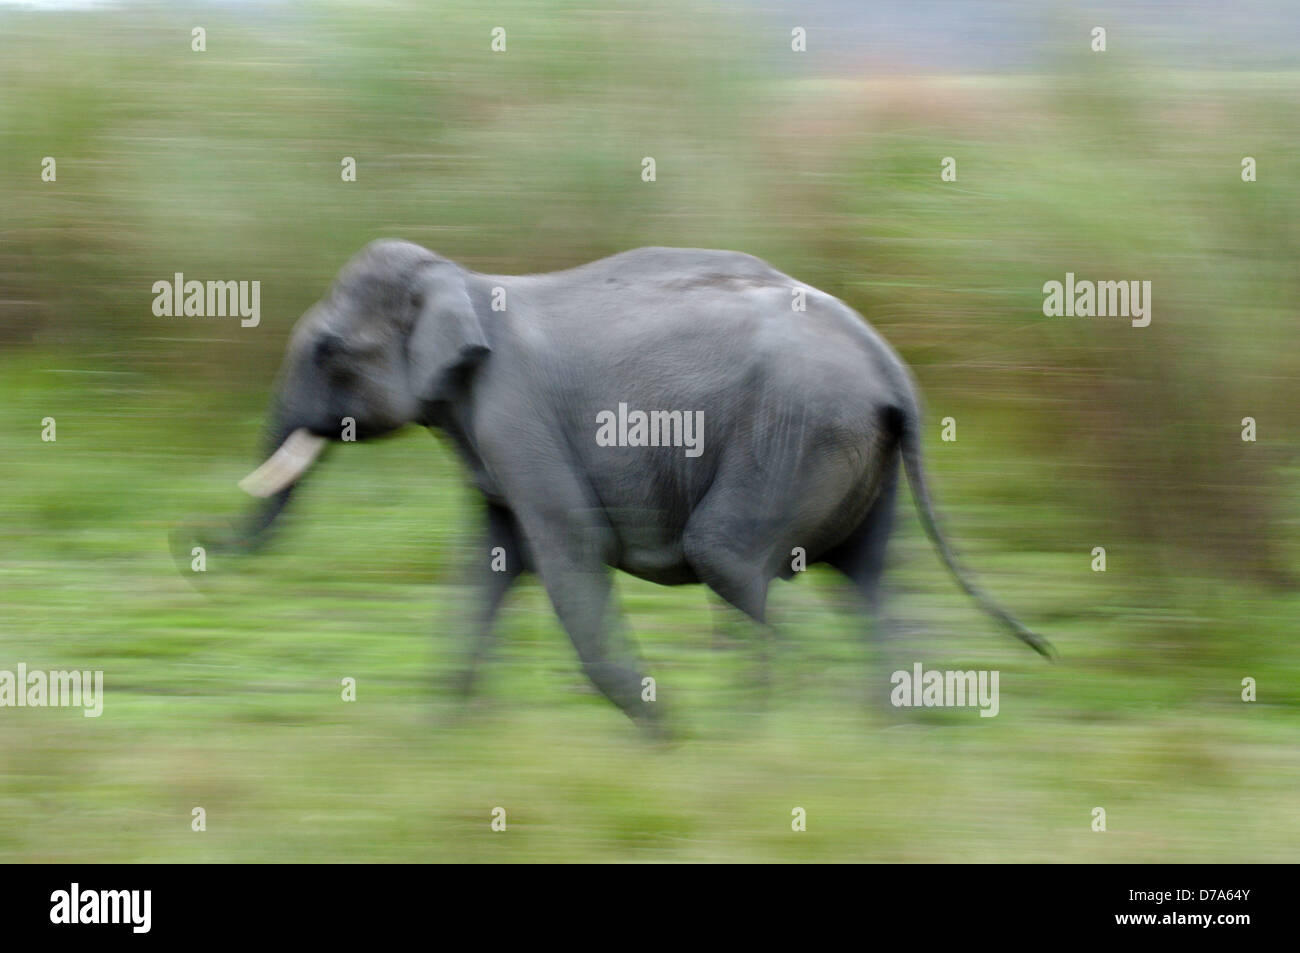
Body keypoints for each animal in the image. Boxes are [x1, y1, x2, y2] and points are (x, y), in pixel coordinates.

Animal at [232, 239, 1052, 733]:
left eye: (330, 350)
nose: (205, 550)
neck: (459, 275)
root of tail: (890, 366)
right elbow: (491, 560)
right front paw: (437, 743)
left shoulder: (513, 413)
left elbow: (568, 548)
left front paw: (668, 738)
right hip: (857, 457)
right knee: (871, 579)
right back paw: (896, 742)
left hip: (798, 437)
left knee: (730, 561)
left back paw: (755, 739)